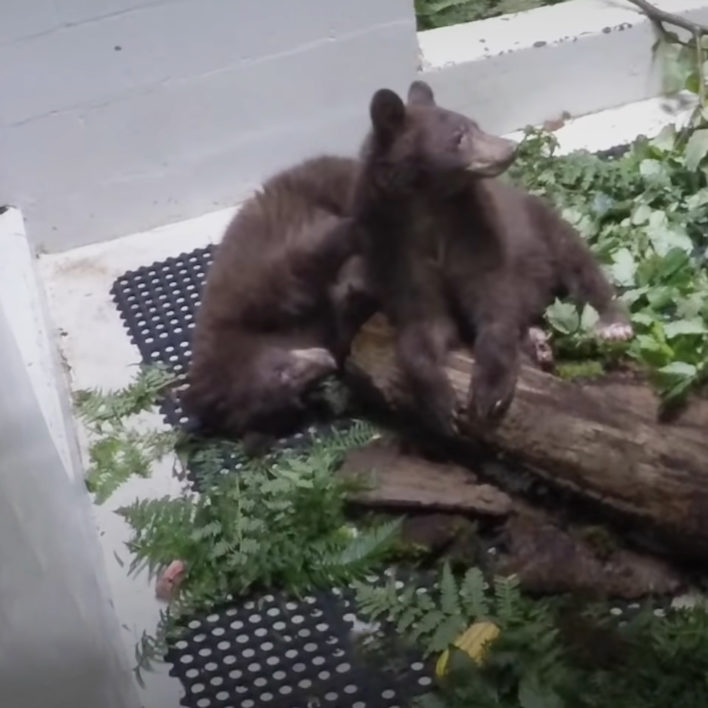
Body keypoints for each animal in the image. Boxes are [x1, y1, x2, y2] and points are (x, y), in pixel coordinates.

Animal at [351, 80, 633, 437]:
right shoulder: (395, 250)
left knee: (580, 265)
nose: (509, 148)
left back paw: (612, 325)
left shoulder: (474, 230)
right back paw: (537, 341)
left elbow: (493, 300)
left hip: (546, 228)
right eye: (459, 136)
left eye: (475, 124)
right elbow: (423, 322)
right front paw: (442, 404)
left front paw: (489, 395)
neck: (427, 209)